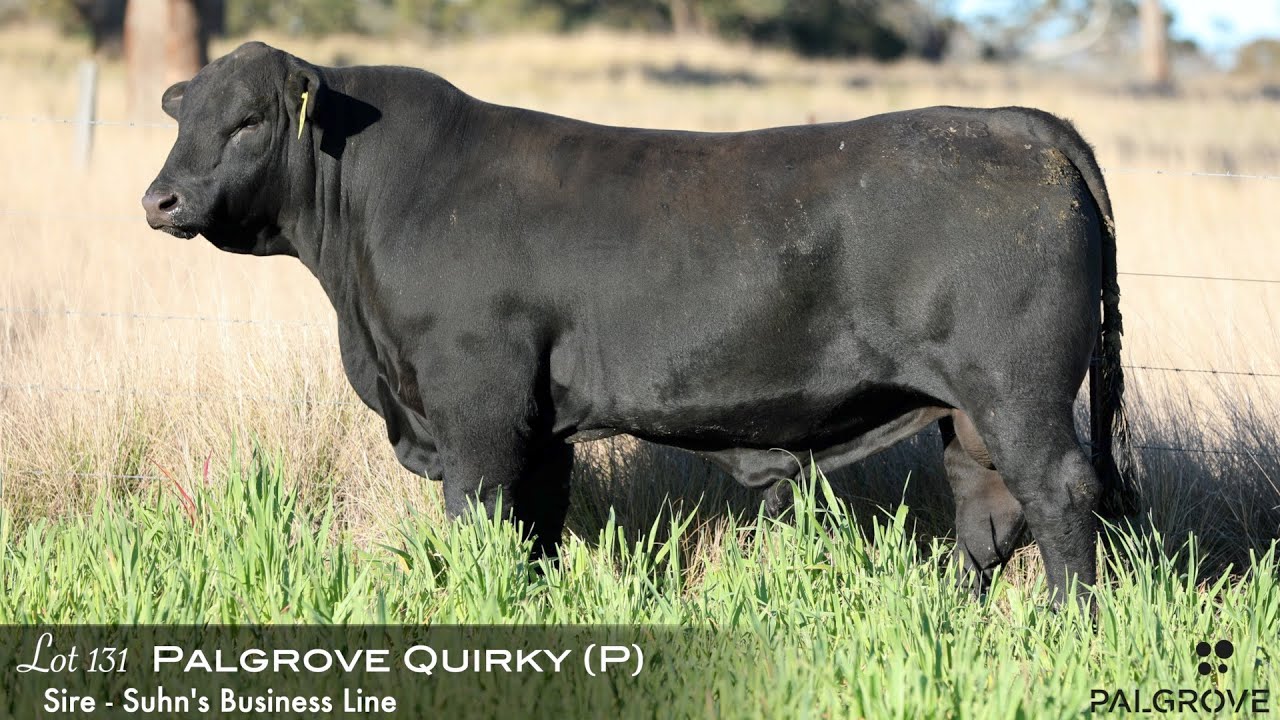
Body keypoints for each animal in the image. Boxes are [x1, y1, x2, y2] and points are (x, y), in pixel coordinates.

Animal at [143, 42, 1129, 606]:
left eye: (247, 120)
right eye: (183, 116)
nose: (162, 199)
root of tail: (1017, 123)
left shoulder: (477, 408)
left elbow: (482, 520)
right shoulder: (539, 425)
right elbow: (534, 531)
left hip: (1019, 392)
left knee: (1059, 494)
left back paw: (1070, 625)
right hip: (969, 413)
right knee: (989, 510)